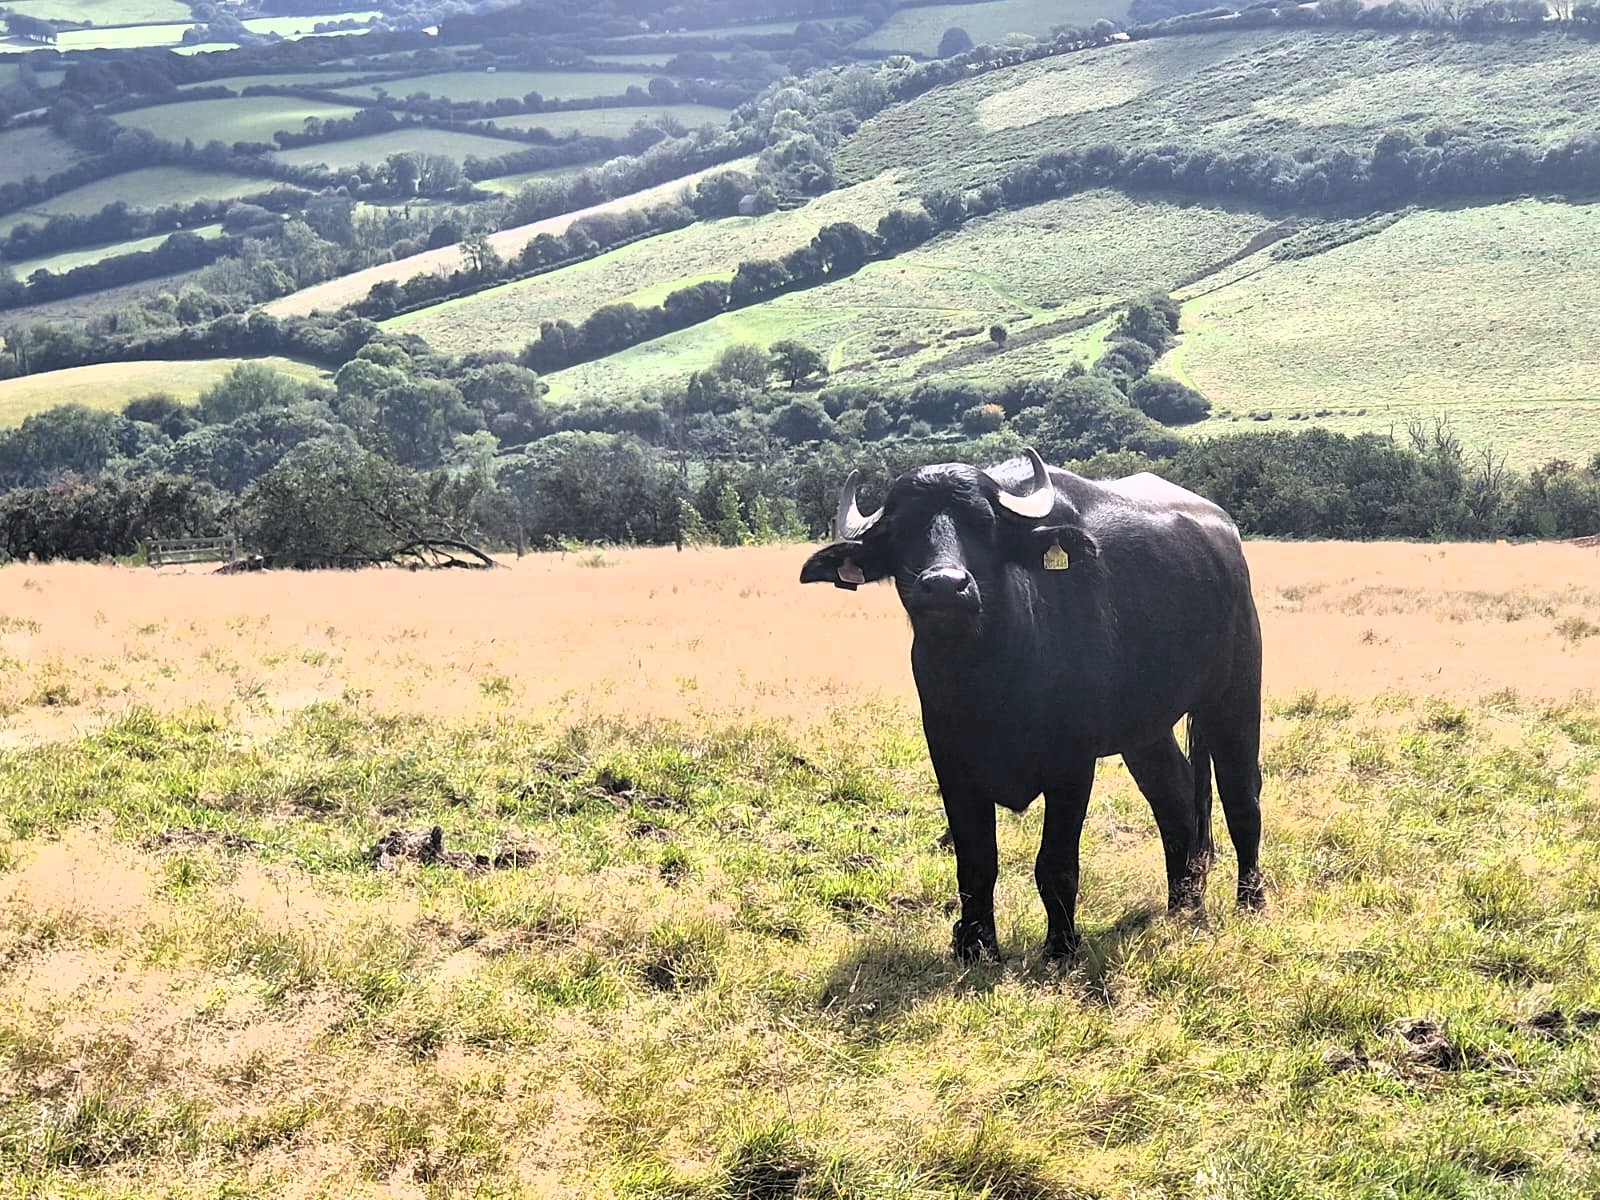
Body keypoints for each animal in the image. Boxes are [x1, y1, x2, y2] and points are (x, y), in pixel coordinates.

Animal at [800, 448, 1264, 961]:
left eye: (983, 525)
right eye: (903, 531)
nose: (944, 585)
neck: (991, 677)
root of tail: (1224, 535)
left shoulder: (1073, 765)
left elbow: (1055, 863)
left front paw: (1061, 947)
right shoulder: (951, 761)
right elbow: (976, 862)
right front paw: (976, 944)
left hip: (1234, 696)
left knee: (1242, 799)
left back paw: (1250, 903)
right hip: (1146, 731)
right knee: (1176, 798)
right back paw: (1184, 904)